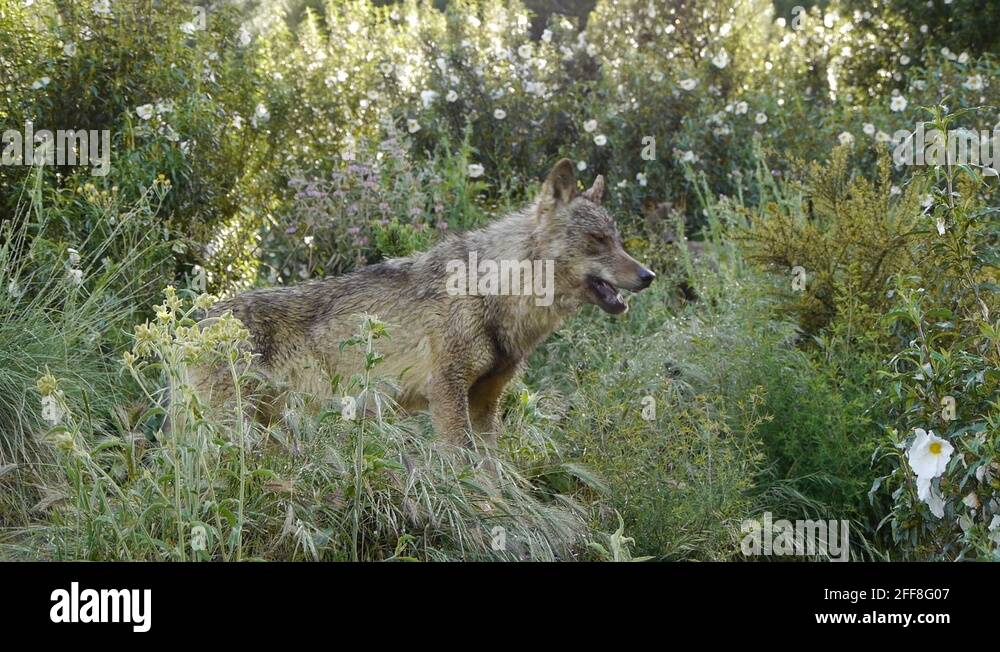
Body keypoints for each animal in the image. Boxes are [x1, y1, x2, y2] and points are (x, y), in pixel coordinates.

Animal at [195, 159, 655, 448]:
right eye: (598, 241)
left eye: (618, 240)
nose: (648, 276)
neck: (490, 292)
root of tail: (193, 325)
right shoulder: (446, 395)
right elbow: (463, 464)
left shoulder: (485, 403)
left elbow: (492, 472)